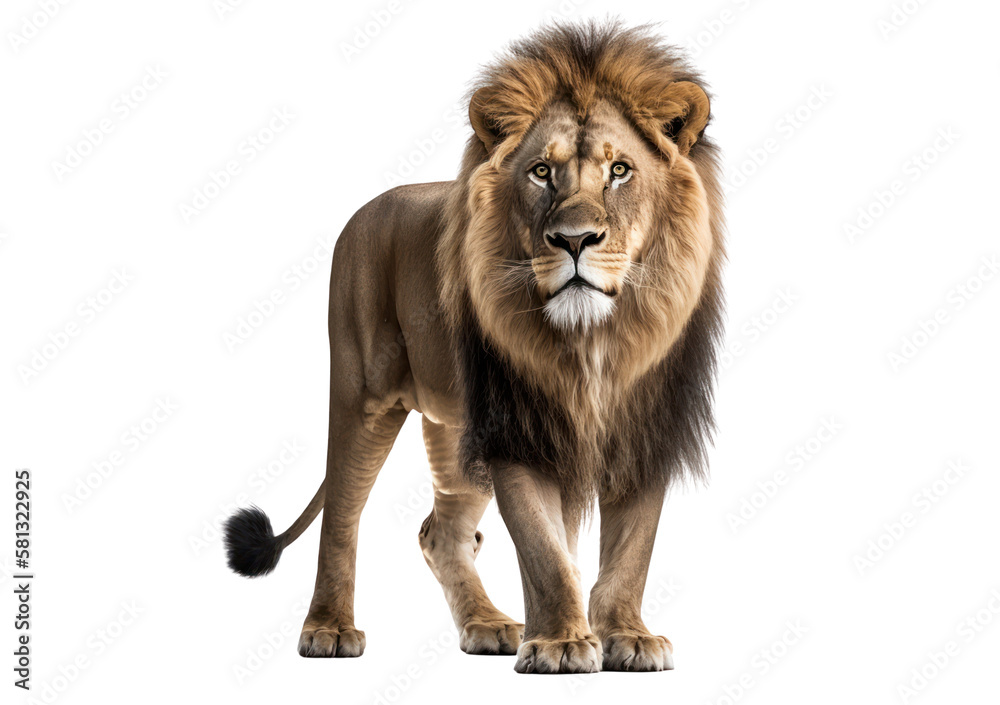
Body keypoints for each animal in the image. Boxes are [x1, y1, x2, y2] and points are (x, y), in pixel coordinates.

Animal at [223, 21, 724, 674]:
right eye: (540, 172)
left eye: (620, 170)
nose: (574, 240)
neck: (591, 342)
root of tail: (368, 207)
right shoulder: (515, 428)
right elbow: (544, 551)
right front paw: (562, 643)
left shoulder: (644, 428)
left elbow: (631, 551)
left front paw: (626, 635)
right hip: (364, 394)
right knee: (342, 516)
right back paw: (329, 629)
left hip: (456, 427)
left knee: (441, 533)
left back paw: (488, 624)